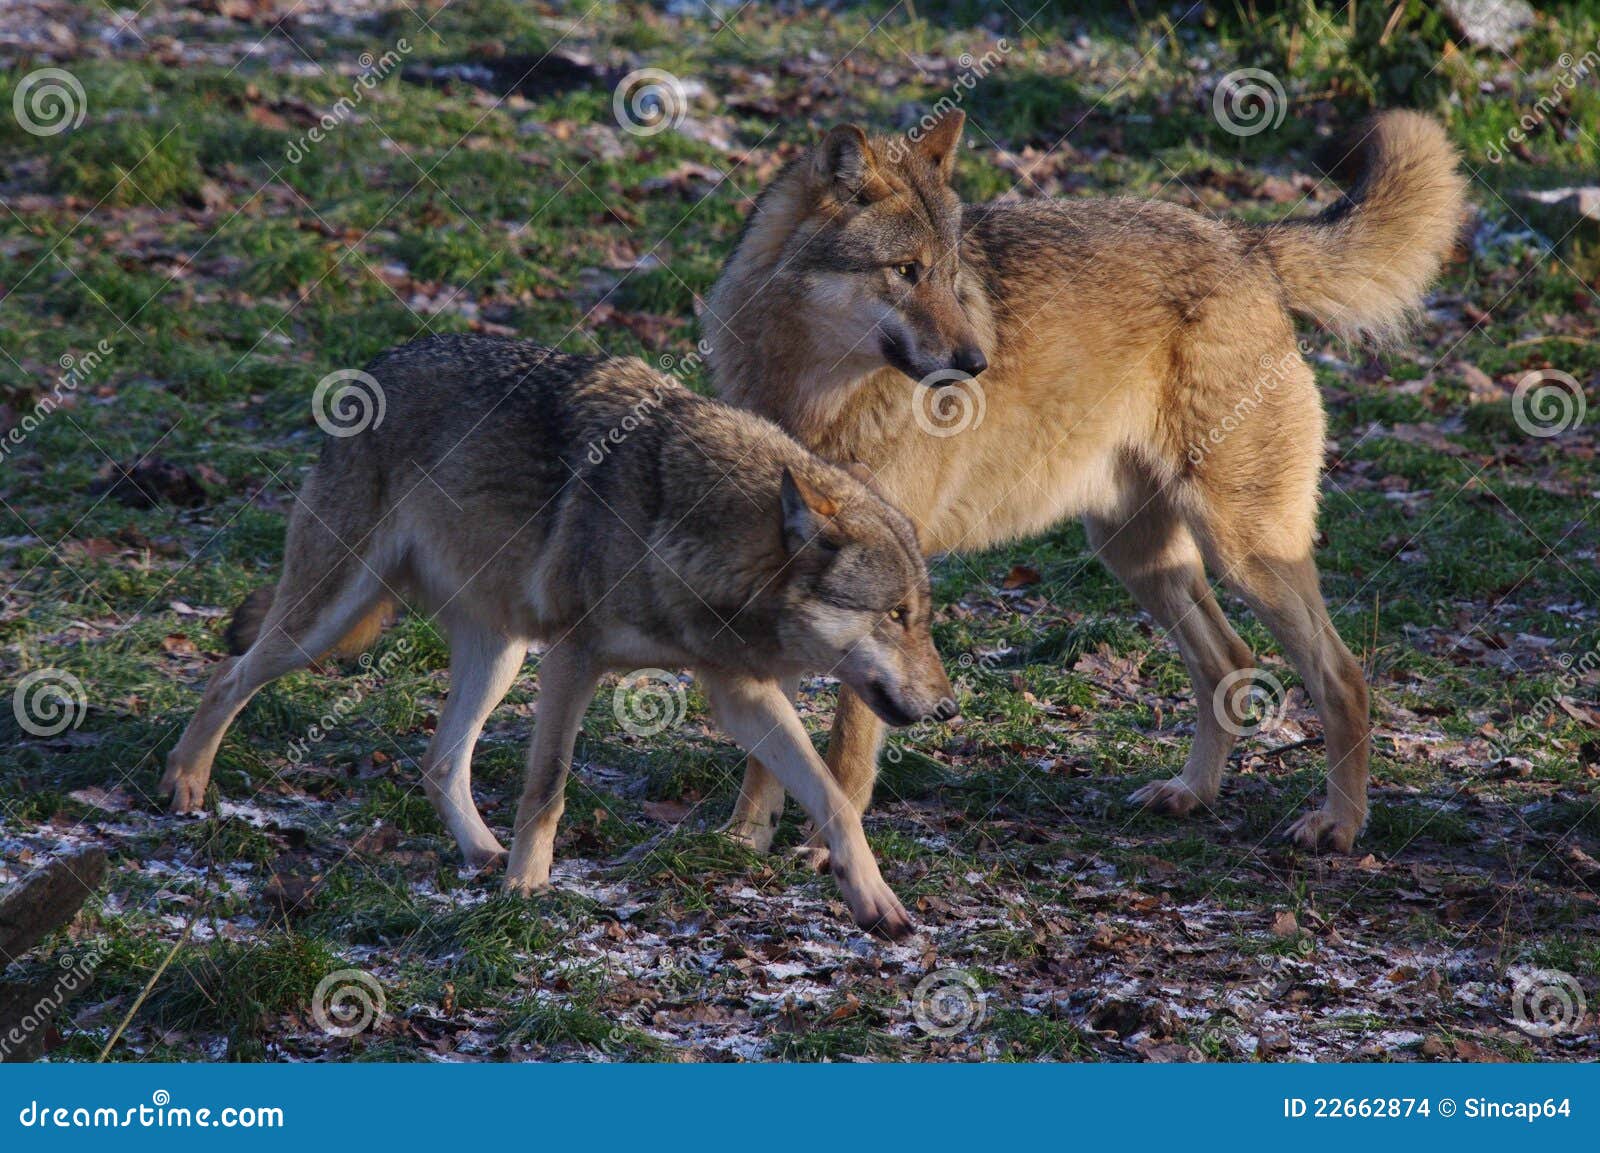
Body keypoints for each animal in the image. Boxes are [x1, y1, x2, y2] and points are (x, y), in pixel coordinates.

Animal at [158, 335, 957, 938]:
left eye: (920, 616)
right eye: (895, 614)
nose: (949, 708)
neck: (693, 523)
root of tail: (381, 361)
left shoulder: (740, 693)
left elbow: (834, 798)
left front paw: (875, 899)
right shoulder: (574, 661)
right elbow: (547, 790)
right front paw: (525, 892)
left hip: (500, 655)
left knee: (438, 762)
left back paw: (482, 851)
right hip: (325, 621)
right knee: (230, 674)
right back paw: (185, 783)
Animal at [703, 109, 1466, 854]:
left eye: (948, 276)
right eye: (905, 270)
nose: (976, 364)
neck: (816, 395)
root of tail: (1248, 243)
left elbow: (847, 740)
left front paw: (826, 845)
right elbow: (771, 742)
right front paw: (745, 834)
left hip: (1244, 552)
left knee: (1342, 676)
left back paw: (1339, 825)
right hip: (1135, 554)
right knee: (1229, 660)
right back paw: (1191, 793)